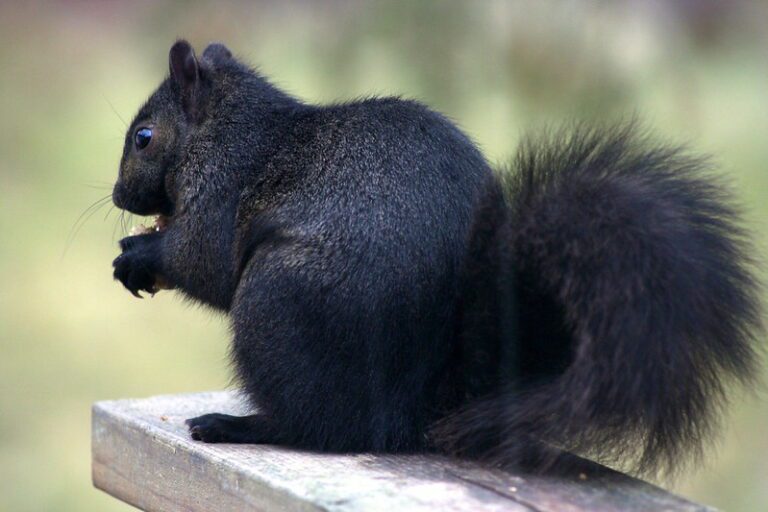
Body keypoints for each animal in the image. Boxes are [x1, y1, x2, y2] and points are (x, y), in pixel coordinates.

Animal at [112, 40, 761, 476]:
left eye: (144, 136)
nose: (118, 197)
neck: (225, 130)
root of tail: (430, 399)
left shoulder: (223, 192)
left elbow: (204, 263)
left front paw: (140, 254)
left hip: (278, 303)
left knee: (324, 426)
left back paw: (237, 425)